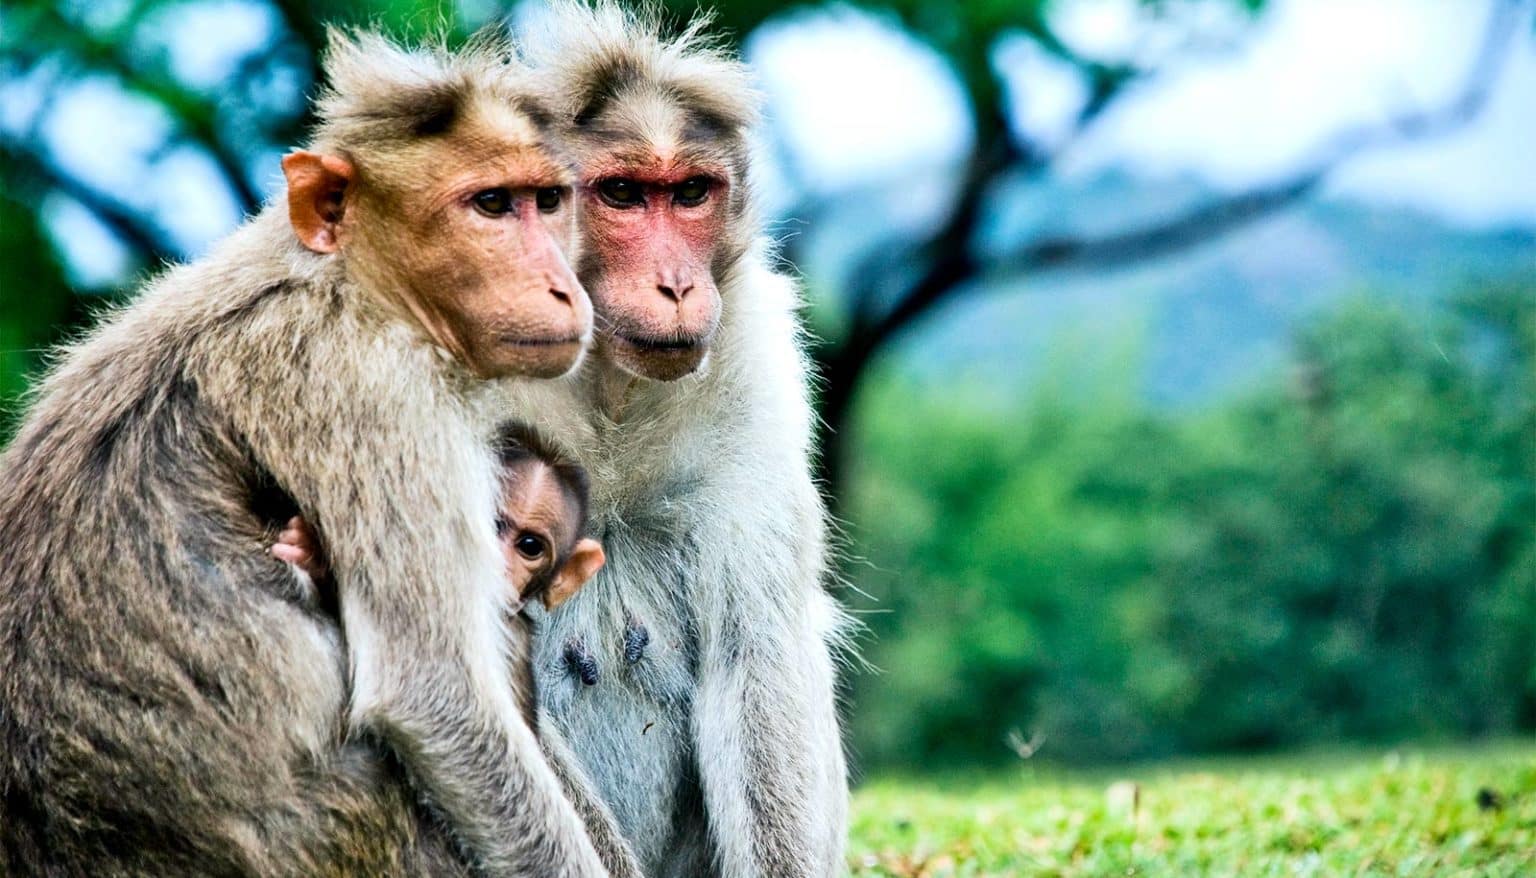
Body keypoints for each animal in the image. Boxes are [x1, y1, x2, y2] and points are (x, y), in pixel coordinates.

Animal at [0, 31, 614, 877]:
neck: (344, 281)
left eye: (545, 202)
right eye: (491, 206)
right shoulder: (376, 392)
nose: (561, 287)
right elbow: (437, 696)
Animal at [494, 5, 854, 876]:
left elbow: (754, 660)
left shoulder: (754, 360)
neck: (605, 385)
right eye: (623, 194)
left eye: (690, 193)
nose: (678, 285)